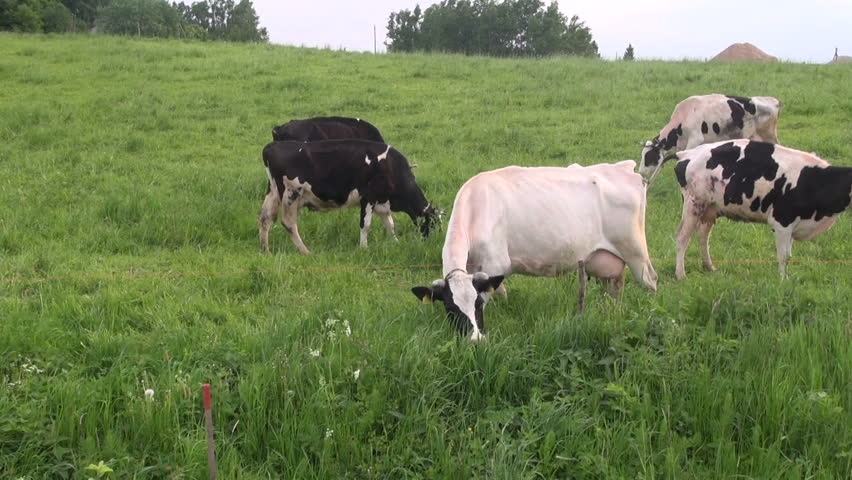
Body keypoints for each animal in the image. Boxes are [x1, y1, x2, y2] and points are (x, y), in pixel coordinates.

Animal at [259, 139, 440, 254]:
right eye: (432, 224)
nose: (431, 244)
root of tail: (271, 146)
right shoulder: (368, 198)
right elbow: (365, 225)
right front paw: (364, 248)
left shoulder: (382, 202)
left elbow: (390, 224)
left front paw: (395, 242)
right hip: (291, 193)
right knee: (288, 223)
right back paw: (305, 251)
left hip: (273, 191)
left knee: (264, 218)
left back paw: (266, 250)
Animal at [411, 161, 658, 341]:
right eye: (450, 308)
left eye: (477, 304)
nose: (474, 340)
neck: (476, 208)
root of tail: (624, 167)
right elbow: (503, 294)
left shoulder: (496, 264)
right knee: (615, 289)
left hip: (635, 252)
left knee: (651, 281)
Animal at [672, 139, 852, 279]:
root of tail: (687, 153)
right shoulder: (781, 222)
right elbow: (783, 257)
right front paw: (783, 281)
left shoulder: (792, 224)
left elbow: (788, 255)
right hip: (694, 205)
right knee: (682, 237)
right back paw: (681, 274)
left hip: (710, 208)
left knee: (703, 235)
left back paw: (709, 267)